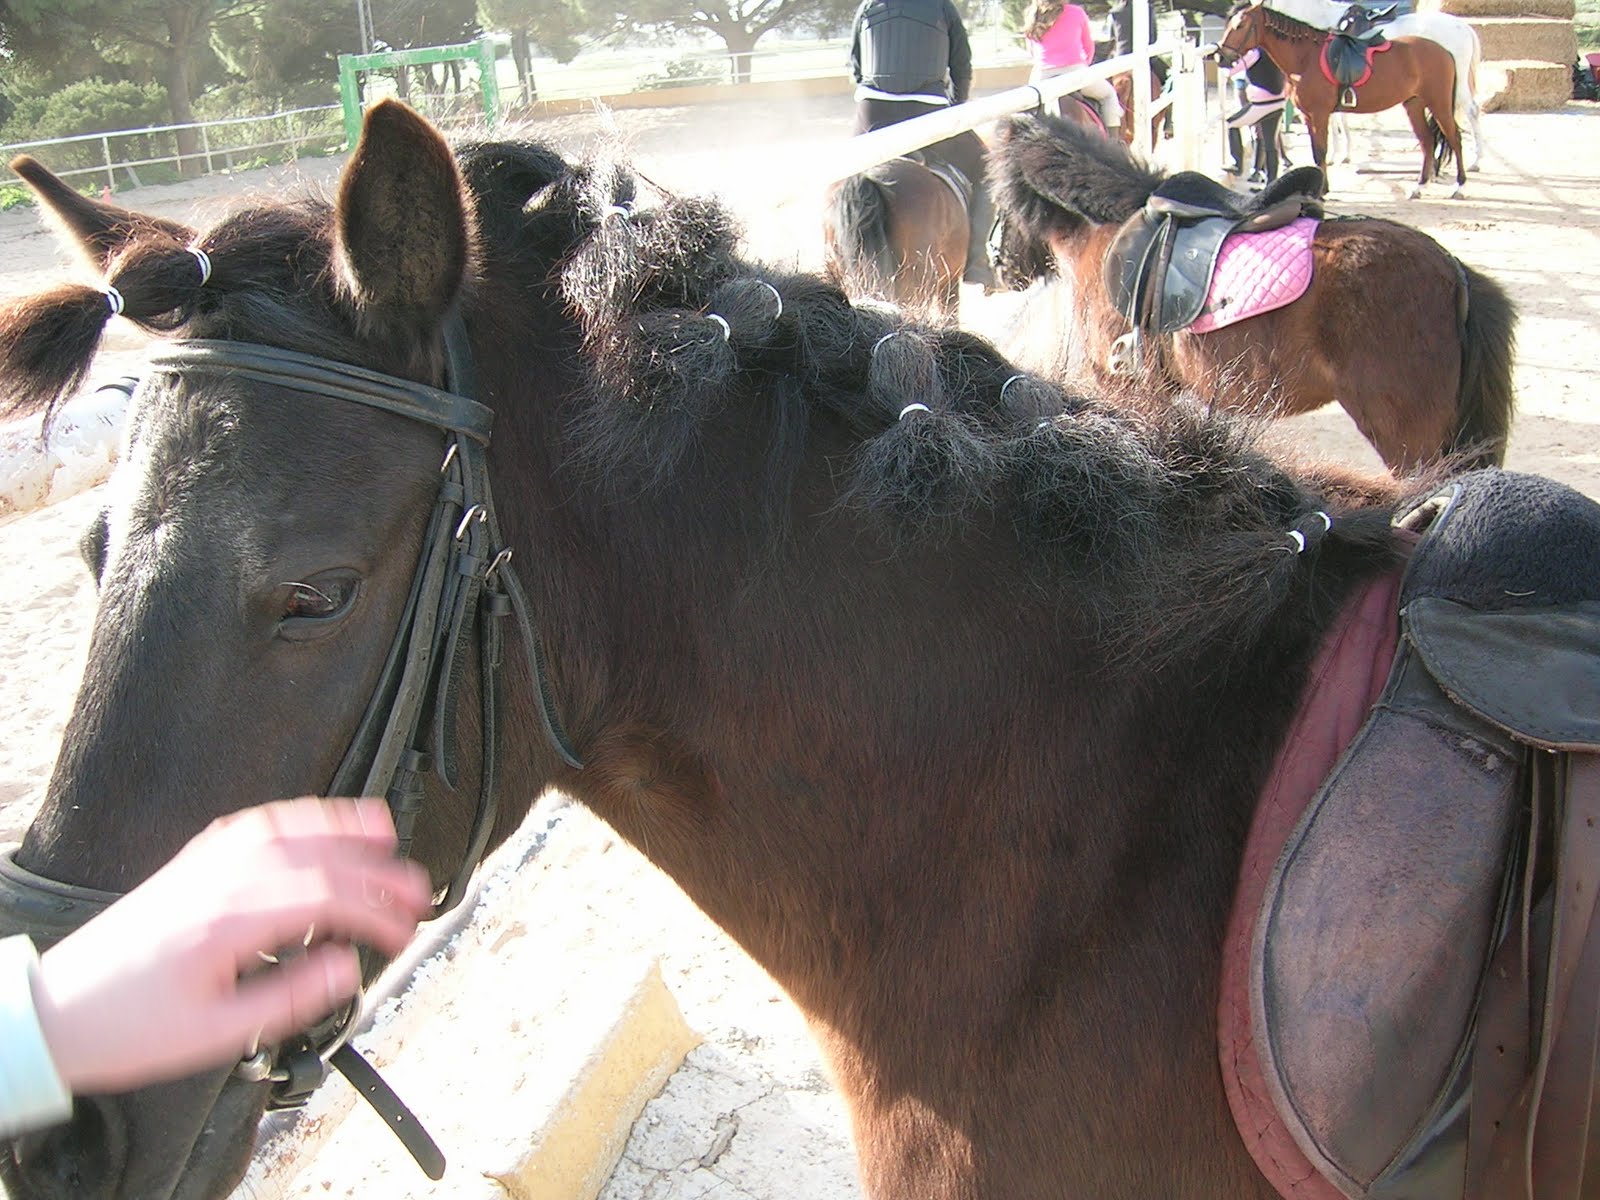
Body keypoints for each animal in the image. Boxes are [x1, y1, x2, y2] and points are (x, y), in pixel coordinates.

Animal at [988, 113, 1516, 473]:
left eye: (995, 199)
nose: (998, 264)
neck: (1106, 232)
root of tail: (1453, 272)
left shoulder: (1128, 389)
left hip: (1409, 440)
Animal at [1213, 0, 1467, 198]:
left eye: (1241, 25)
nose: (1221, 57)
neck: (1305, 58)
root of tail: (1444, 51)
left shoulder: (1319, 114)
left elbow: (1322, 151)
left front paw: (1321, 191)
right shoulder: (1308, 115)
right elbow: (1316, 151)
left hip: (1439, 104)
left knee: (1454, 137)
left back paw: (1459, 187)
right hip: (1414, 104)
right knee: (1427, 141)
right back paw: (1419, 187)